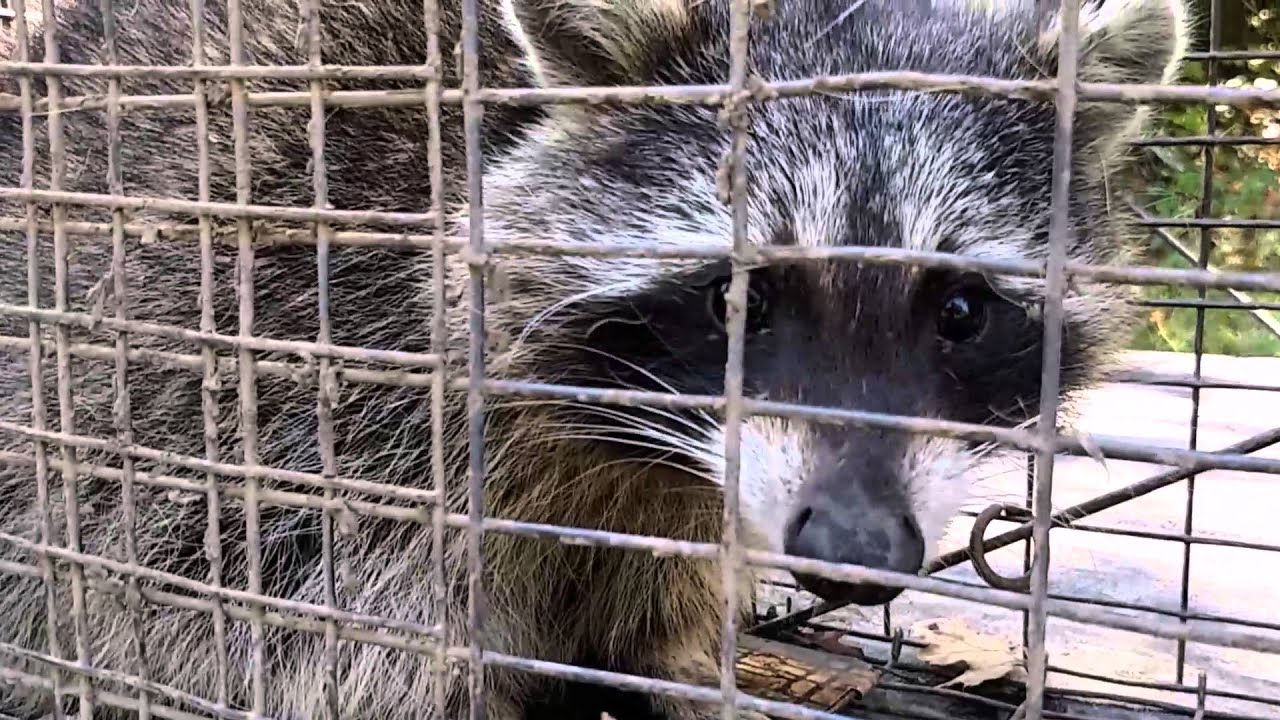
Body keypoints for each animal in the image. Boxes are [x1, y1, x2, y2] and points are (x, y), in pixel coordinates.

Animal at [0, 0, 1188, 717]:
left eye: (960, 311)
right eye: (739, 297)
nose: (853, 552)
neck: (628, 447)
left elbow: (656, 601)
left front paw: (676, 666)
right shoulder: (328, 397)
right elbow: (294, 636)